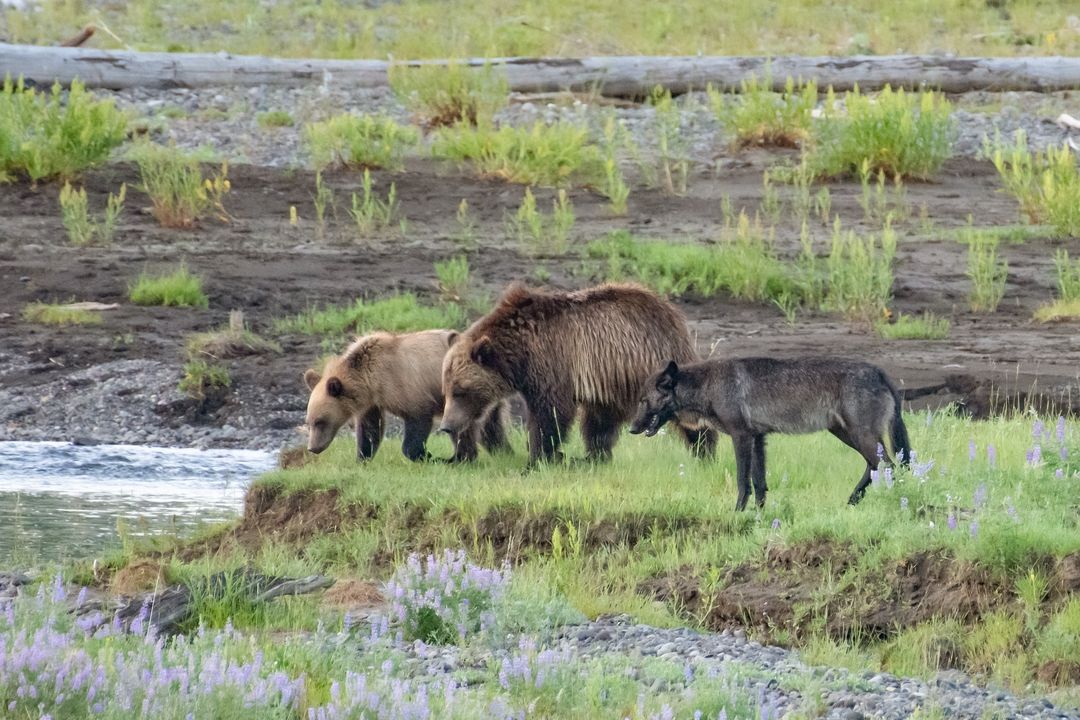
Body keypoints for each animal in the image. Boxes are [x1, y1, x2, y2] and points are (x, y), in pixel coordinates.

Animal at [629, 357, 911, 510]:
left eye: (643, 401)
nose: (631, 428)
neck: (708, 385)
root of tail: (879, 371)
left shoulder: (741, 436)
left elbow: (743, 482)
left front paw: (737, 513)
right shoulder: (758, 438)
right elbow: (759, 482)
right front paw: (759, 515)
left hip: (861, 437)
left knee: (890, 466)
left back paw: (894, 500)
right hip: (848, 435)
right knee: (876, 466)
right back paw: (852, 501)